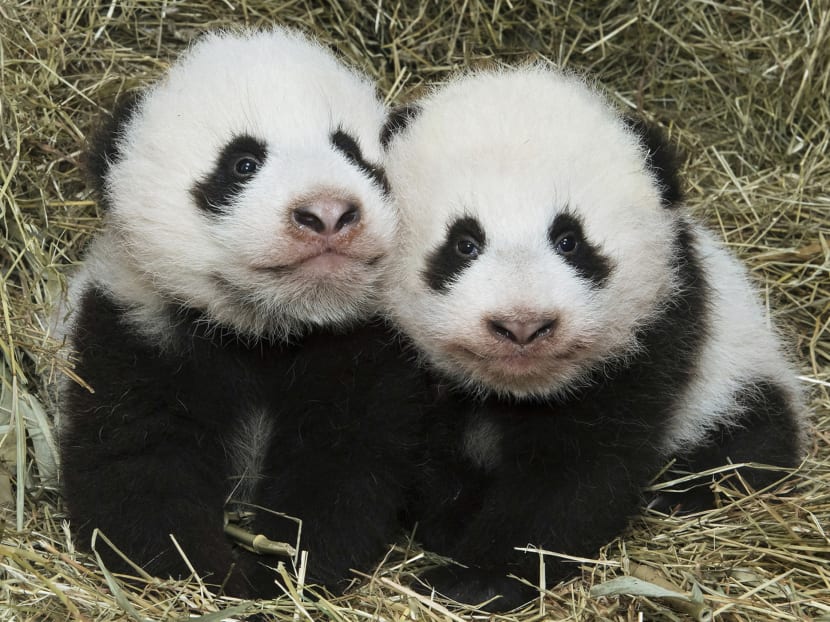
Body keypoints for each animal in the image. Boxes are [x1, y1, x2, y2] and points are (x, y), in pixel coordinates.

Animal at [56, 28, 424, 598]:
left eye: (354, 153)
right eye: (242, 163)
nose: (328, 212)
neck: (266, 330)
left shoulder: (363, 348)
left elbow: (343, 464)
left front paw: (282, 574)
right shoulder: (131, 329)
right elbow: (136, 462)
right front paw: (207, 575)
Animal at [381, 65, 807, 611]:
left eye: (570, 241)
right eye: (464, 243)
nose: (523, 325)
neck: (515, 391)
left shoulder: (653, 338)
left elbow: (578, 474)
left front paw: (476, 579)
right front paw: (452, 528)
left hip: (736, 373)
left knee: (752, 439)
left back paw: (680, 492)